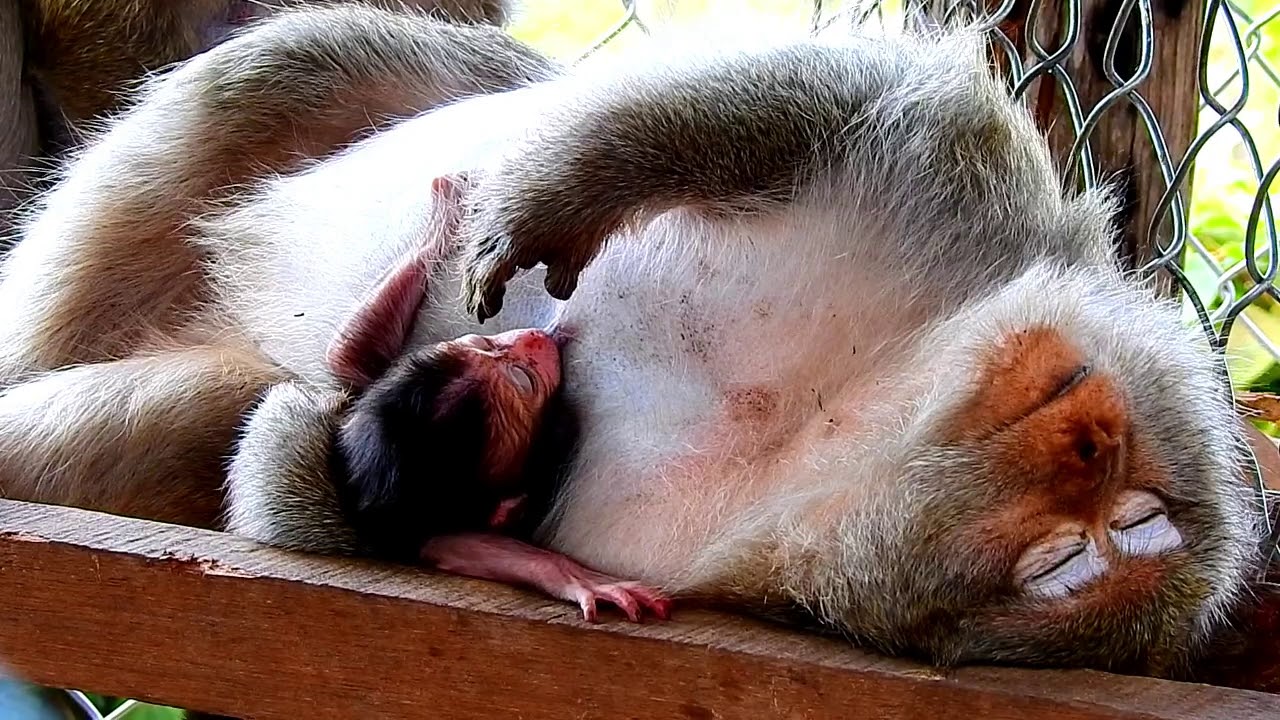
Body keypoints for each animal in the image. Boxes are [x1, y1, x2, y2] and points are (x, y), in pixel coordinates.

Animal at [0, 1, 1267, 681]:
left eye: (1082, 555)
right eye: (1118, 513)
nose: (1086, 437)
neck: (855, 393)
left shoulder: (712, 558)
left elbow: (352, 504)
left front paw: (350, 429)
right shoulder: (967, 196)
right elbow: (820, 106)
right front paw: (549, 207)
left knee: (188, 412)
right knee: (281, 71)